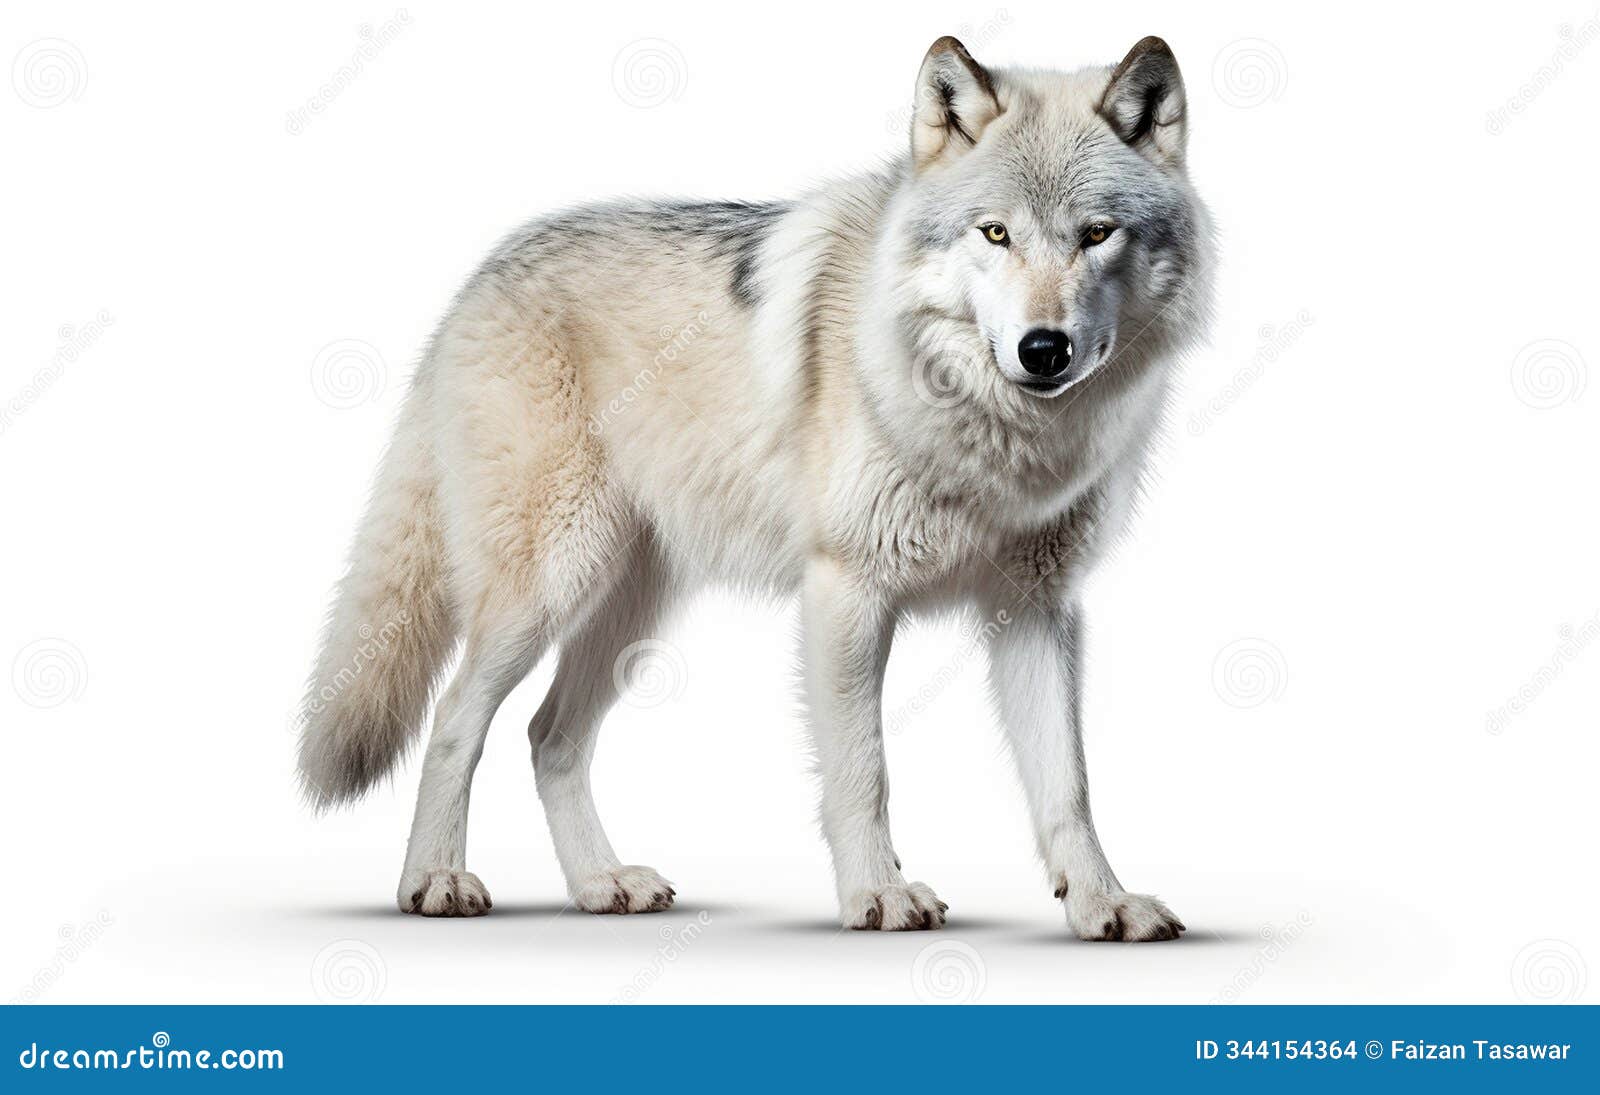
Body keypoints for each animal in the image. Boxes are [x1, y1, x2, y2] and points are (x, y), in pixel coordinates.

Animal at [299, 34, 1212, 940]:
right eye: (995, 233)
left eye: (1097, 233)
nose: (1043, 349)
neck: (995, 438)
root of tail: (477, 279)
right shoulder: (846, 591)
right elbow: (863, 770)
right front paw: (878, 895)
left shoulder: (1036, 608)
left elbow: (1069, 786)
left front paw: (1102, 903)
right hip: (549, 587)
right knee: (455, 718)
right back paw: (435, 879)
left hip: (629, 611)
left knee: (549, 735)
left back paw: (600, 883)